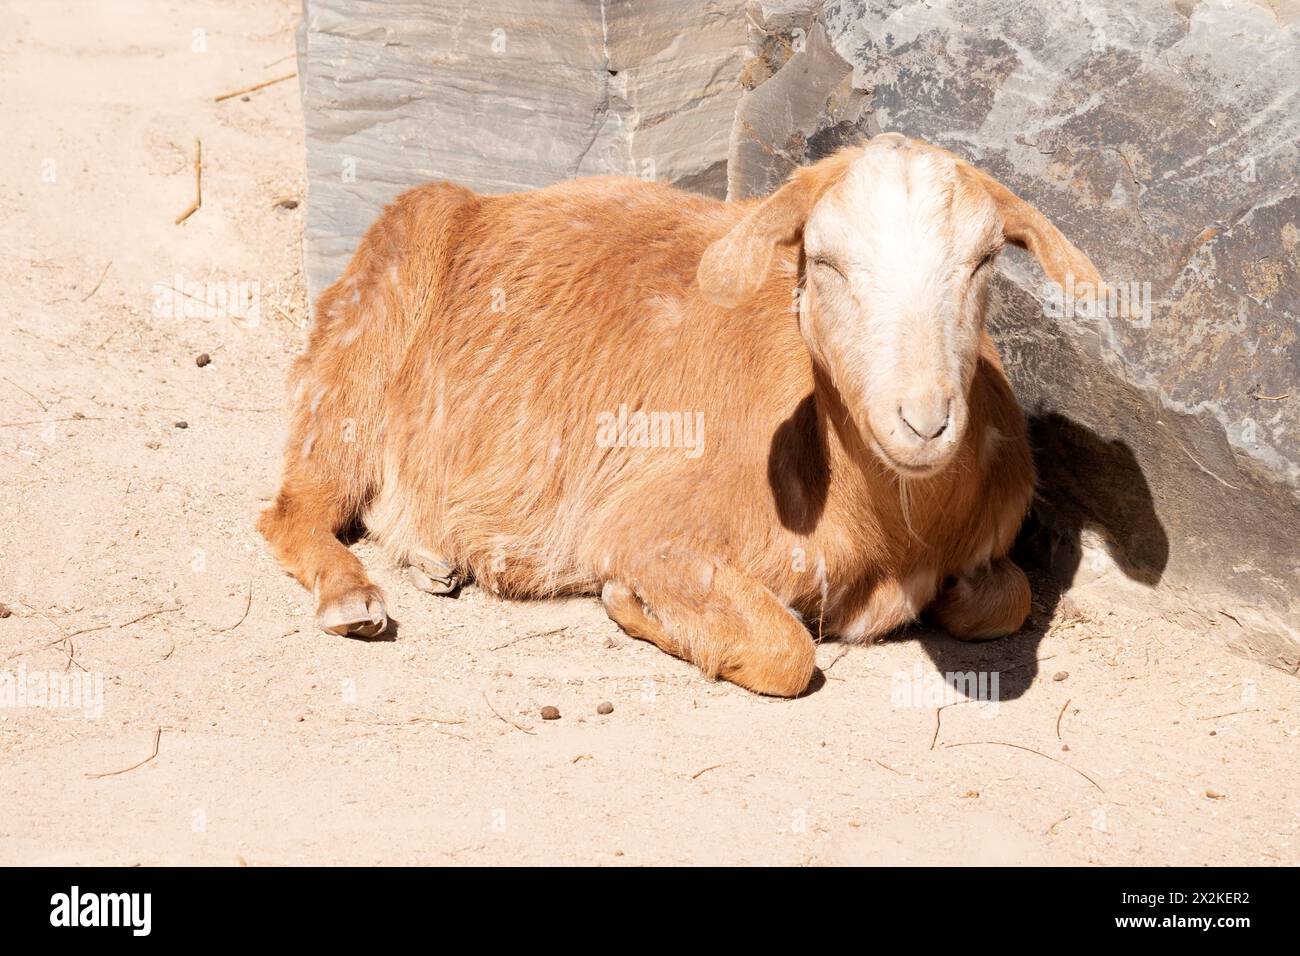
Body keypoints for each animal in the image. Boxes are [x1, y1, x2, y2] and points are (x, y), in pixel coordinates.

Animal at [258, 132, 1103, 697]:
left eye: (985, 261)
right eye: (824, 261)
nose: (924, 420)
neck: (885, 525)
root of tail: (478, 201)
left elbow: (1006, 599)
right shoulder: (647, 528)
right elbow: (785, 651)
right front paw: (633, 607)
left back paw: (436, 558)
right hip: (363, 344)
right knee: (294, 505)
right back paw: (353, 597)